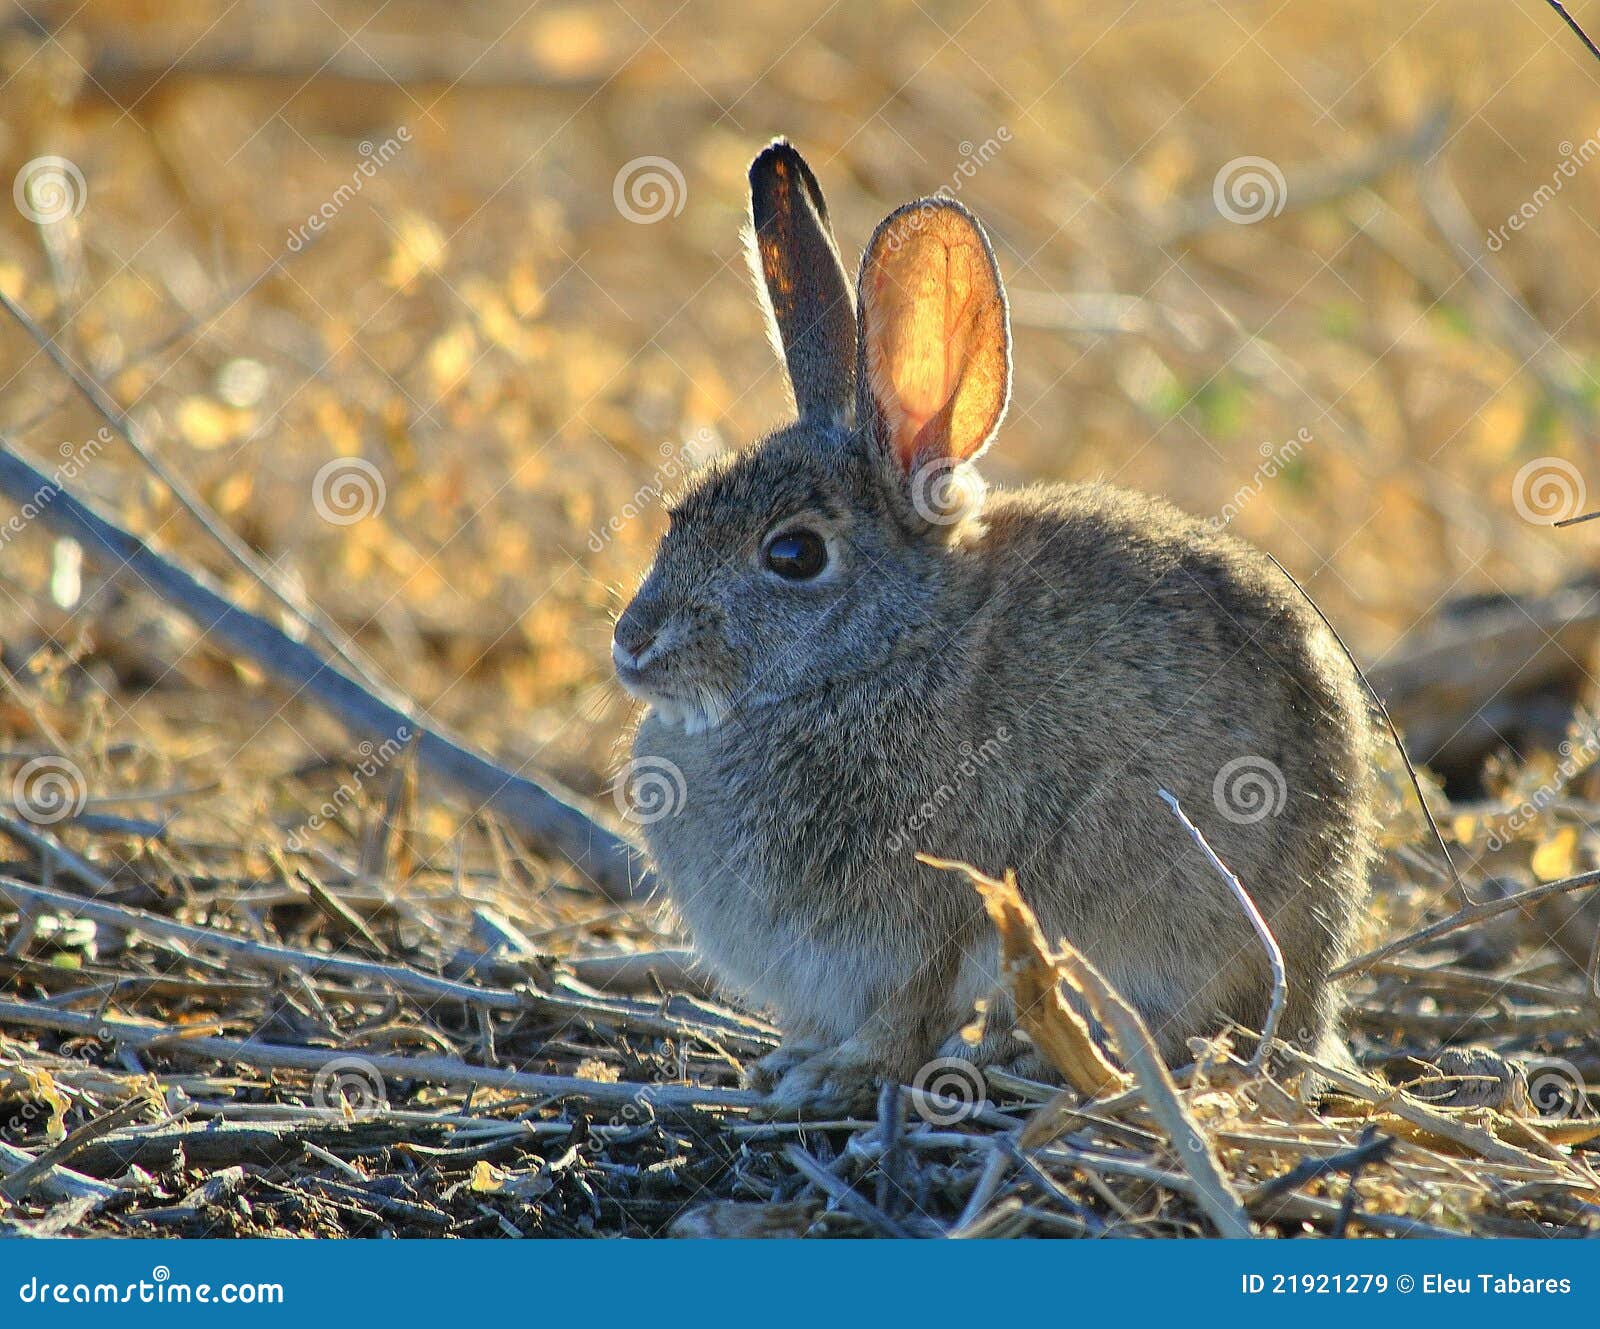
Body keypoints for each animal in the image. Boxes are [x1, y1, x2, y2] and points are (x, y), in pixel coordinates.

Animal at [612, 139, 1380, 1115]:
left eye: (793, 554)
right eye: (679, 515)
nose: (633, 642)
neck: (886, 652)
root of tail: (1315, 998)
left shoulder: (926, 921)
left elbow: (906, 1018)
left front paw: (832, 1077)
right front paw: (787, 1063)